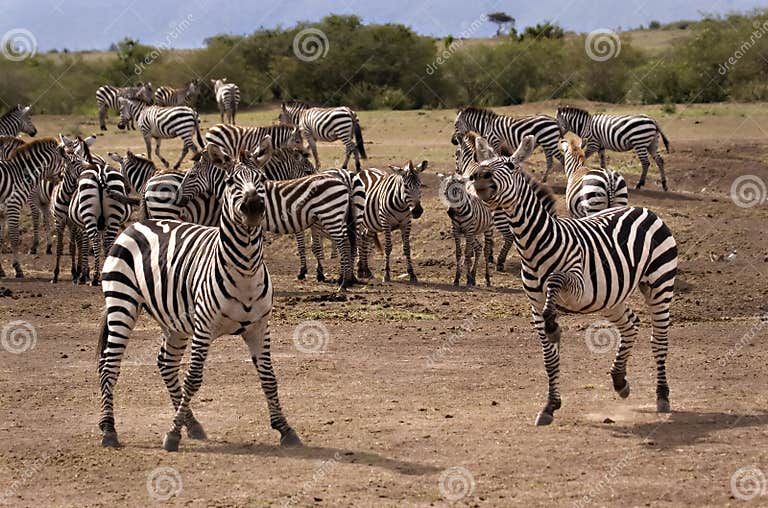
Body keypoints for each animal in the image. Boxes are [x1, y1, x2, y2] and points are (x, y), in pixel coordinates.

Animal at [97, 147, 302, 452]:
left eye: (262, 179)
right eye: (230, 181)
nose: (254, 206)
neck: (246, 268)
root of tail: (138, 223)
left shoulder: (259, 328)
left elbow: (269, 378)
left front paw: (285, 429)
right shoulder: (204, 328)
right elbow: (193, 379)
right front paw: (172, 434)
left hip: (175, 321)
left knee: (165, 363)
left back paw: (192, 424)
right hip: (121, 302)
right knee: (109, 364)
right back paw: (109, 429)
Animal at [470, 135, 678, 426]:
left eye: (510, 165)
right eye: (483, 164)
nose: (479, 176)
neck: (535, 245)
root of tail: (644, 210)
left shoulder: (579, 286)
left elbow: (556, 280)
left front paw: (554, 326)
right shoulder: (535, 305)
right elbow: (549, 359)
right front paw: (549, 406)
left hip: (660, 284)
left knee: (658, 340)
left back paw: (662, 396)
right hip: (610, 296)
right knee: (631, 325)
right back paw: (620, 381)